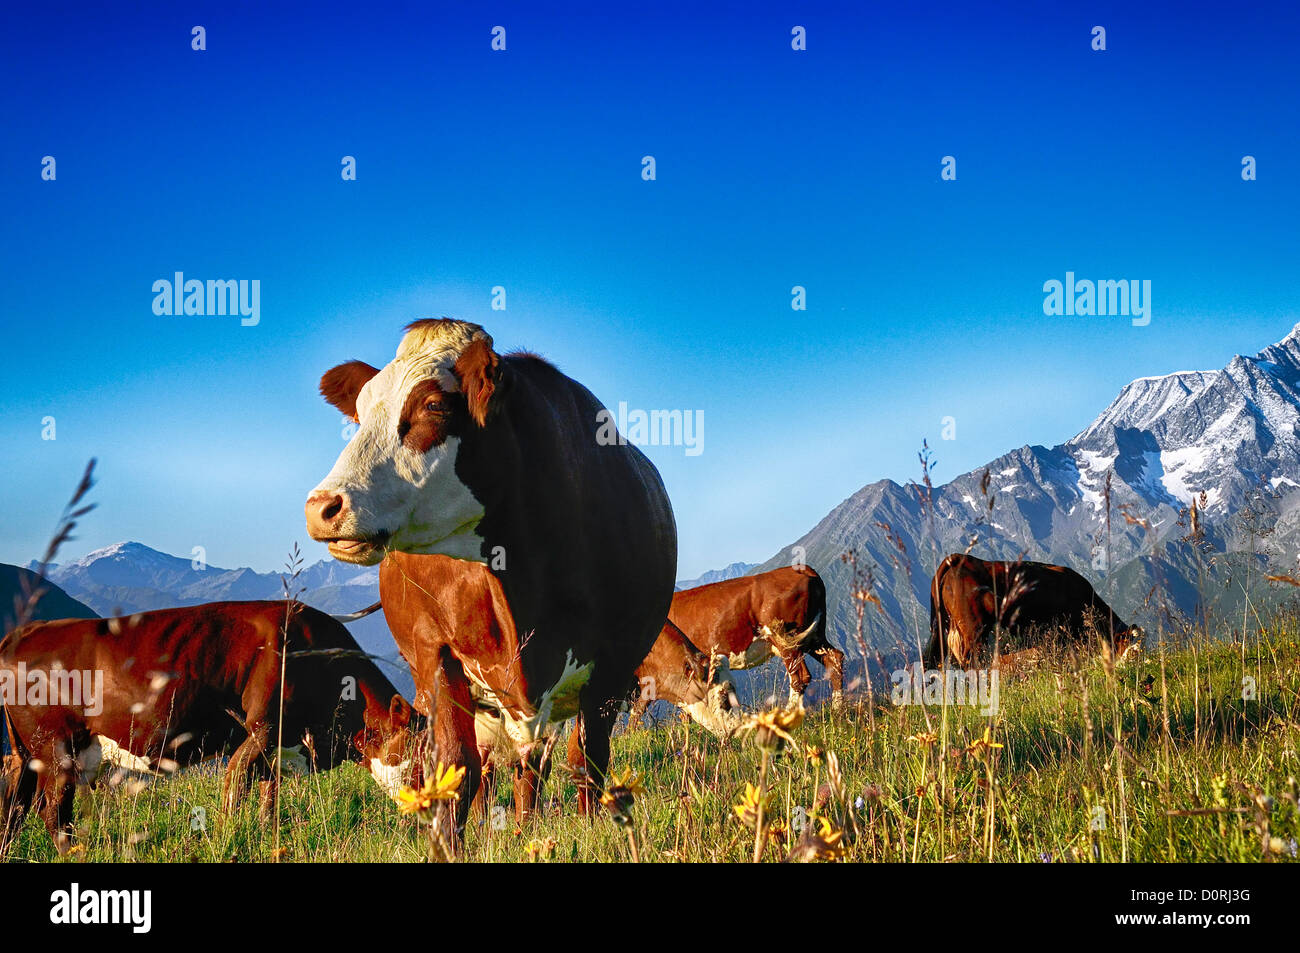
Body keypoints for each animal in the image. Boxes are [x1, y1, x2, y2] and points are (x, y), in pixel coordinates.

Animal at [0, 601, 416, 855]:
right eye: (420, 752)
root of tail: (26, 631)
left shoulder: (279, 745)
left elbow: (268, 800)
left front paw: (266, 839)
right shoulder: (262, 728)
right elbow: (235, 788)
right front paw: (229, 839)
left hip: (28, 753)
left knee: (14, 802)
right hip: (56, 746)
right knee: (52, 810)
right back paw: (77, 854)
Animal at [304, 319, 677, 833]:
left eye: (434, 405)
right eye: (359, 413)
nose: (322, 507)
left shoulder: (611, 665)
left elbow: (586, 763)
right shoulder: (433, 653)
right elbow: (455, 767)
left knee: (533, 767)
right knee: (490, 766)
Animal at [668, 566, 844, 708]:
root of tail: (802, 569)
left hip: (787, 639)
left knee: (800, 678)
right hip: (813, 636)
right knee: (834, 658)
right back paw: (837, 711)